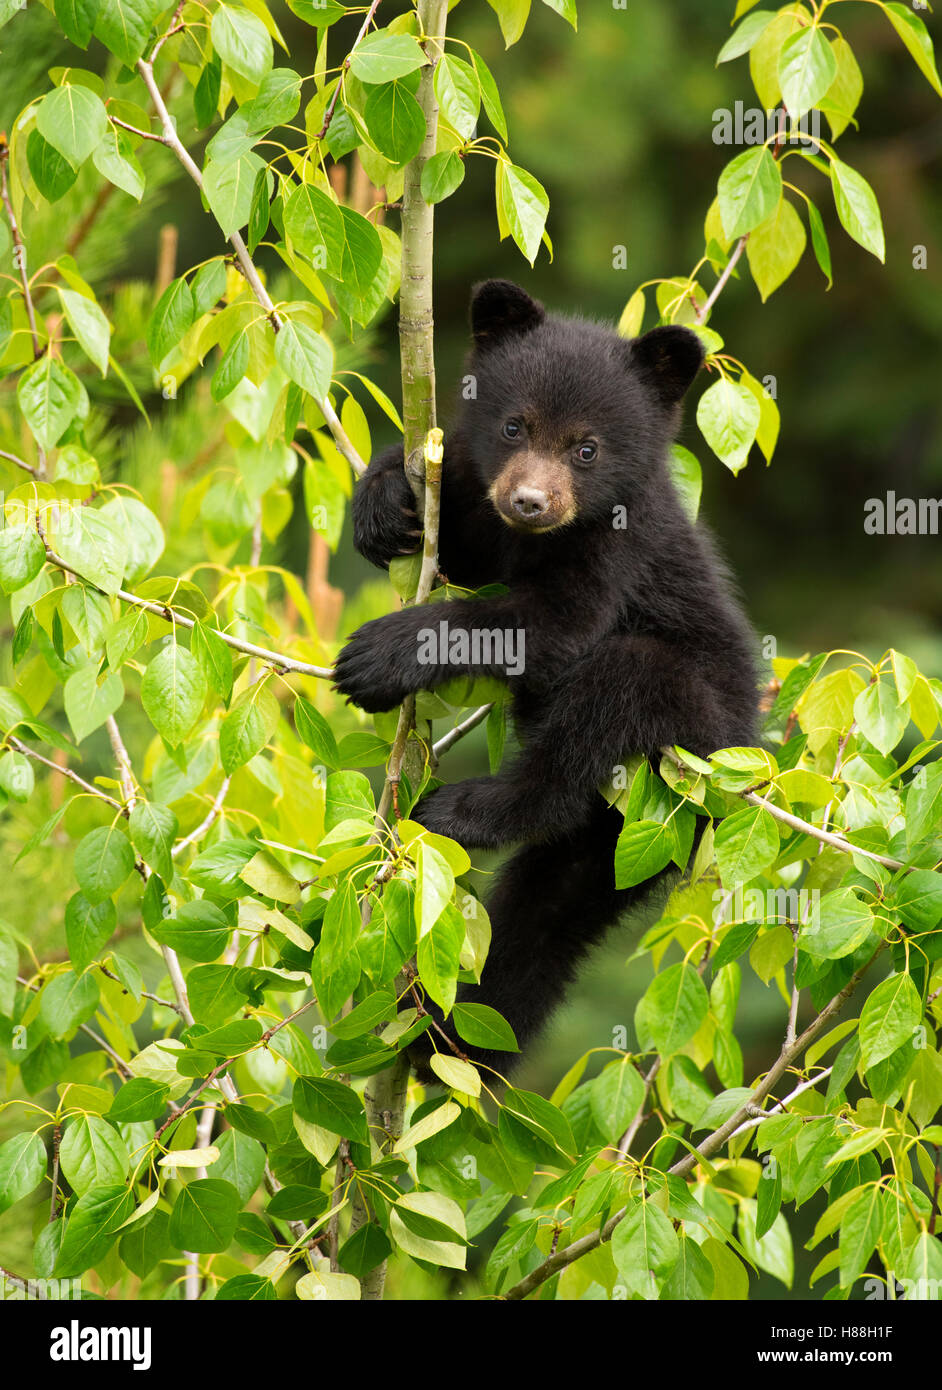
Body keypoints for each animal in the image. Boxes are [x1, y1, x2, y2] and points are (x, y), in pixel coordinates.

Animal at [334, 279, 759, 1080]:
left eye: (586, 448)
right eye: (513, 426)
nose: (531, 501)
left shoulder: (617, 546)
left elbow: (552, 625)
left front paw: (378, 657)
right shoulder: (485, 514)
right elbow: (462, 546)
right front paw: (383, 499)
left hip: (698, 729)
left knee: (607, 701)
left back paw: (469, 808)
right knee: (543, 904)